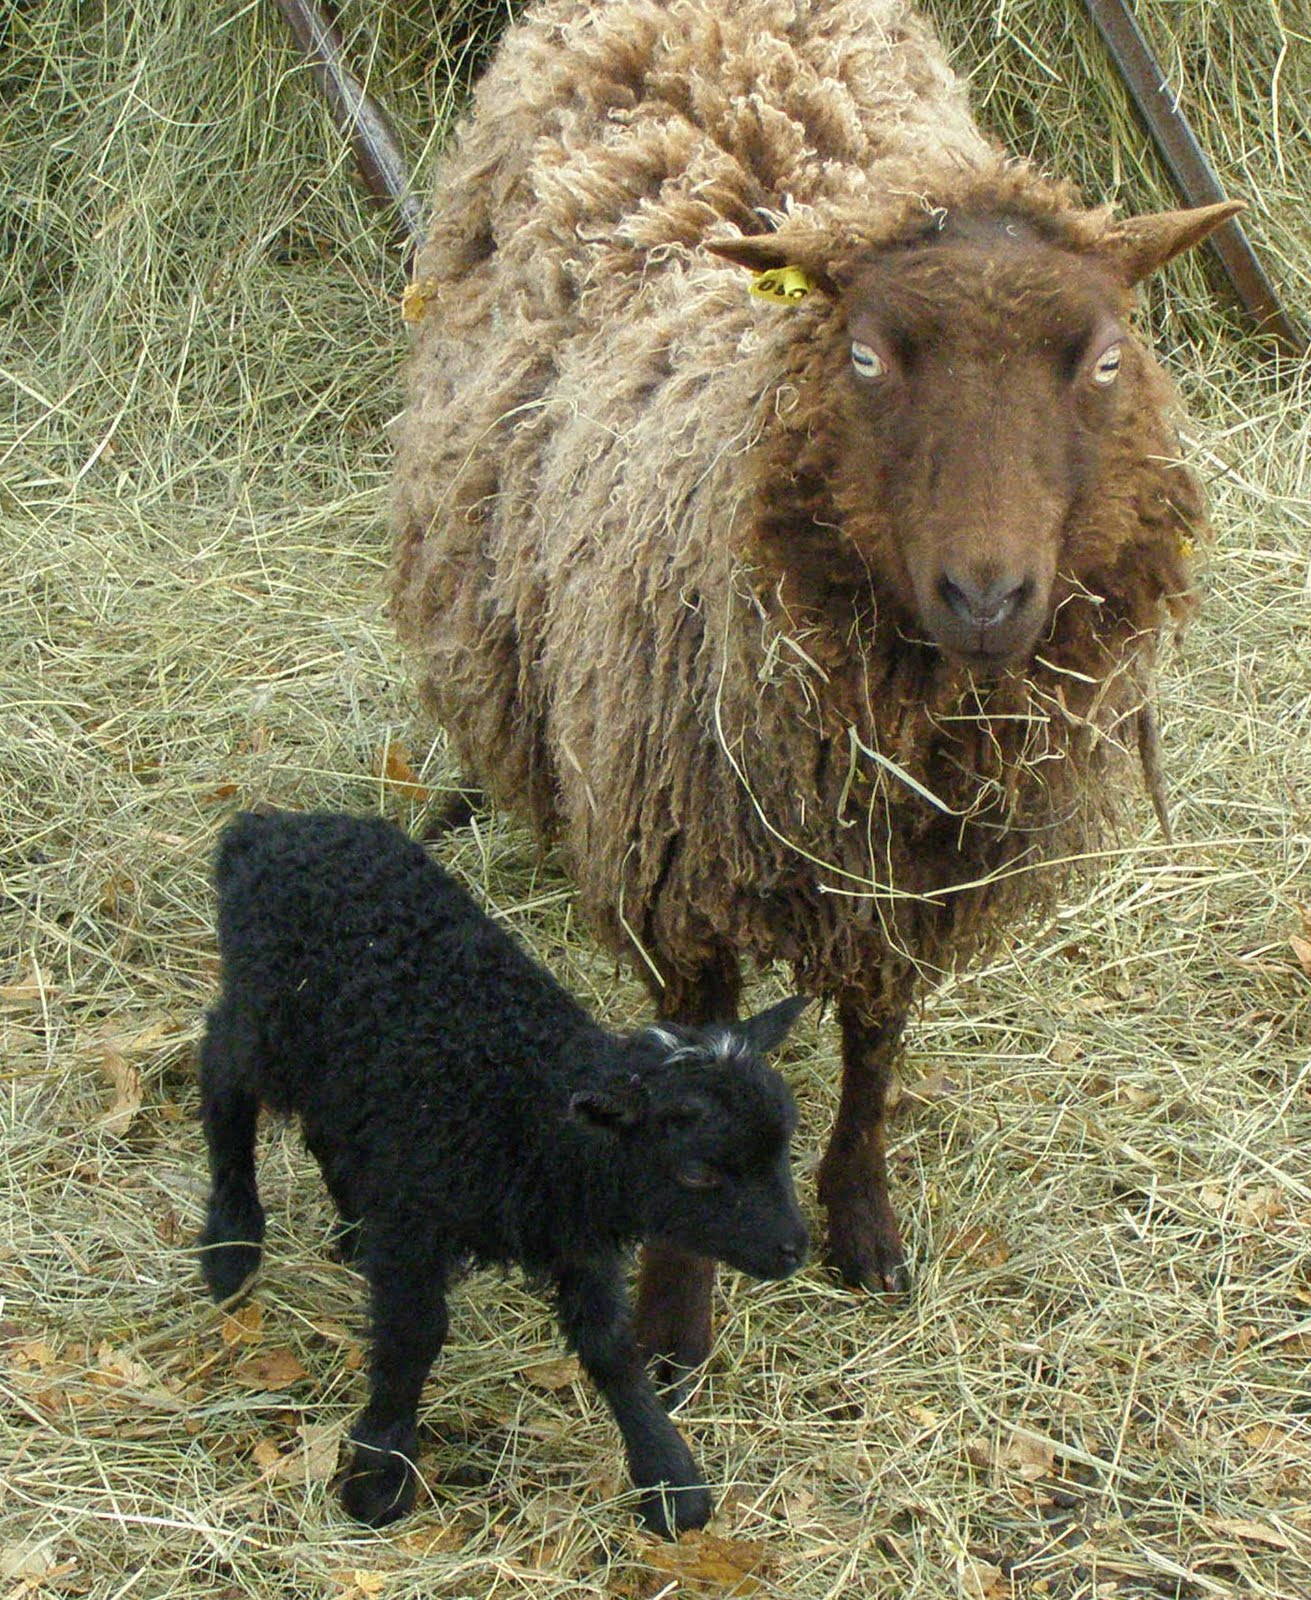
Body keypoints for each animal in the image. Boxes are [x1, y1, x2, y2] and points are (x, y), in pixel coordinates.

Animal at [196, 810, 808, 1535]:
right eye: (697, 1173)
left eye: (784, 1144)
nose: (794, 1250)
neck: (525, 1108)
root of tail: (267, 826)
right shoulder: (416, 1218)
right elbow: (413, 1336)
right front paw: (378, 1474)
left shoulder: (574, 1236)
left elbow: (610, 1347)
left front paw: (668, 1477)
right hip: (269, 1017)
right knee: (221, 1067)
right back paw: (230, 1245)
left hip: (338, 1065)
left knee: (323, 1123)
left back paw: (347, 1227)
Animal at [390, 0, 1239, 1380]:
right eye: (868, 356)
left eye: (1107, 360)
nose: (988, 593)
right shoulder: (679, 864)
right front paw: (674, 1327)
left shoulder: (909, 873)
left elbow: (876, 1049)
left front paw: (864, 1227)